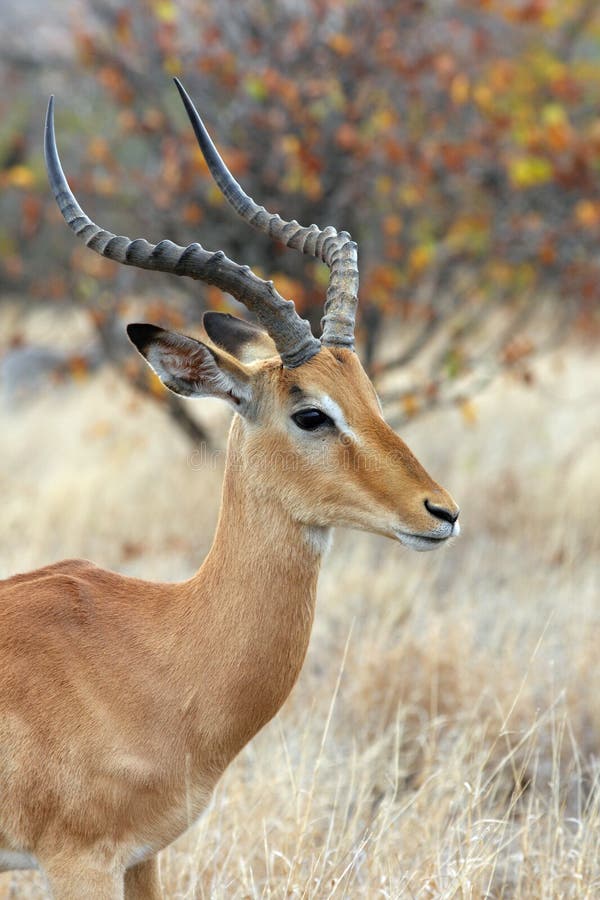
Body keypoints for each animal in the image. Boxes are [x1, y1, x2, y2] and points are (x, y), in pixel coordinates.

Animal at [0, 80, 459, 899]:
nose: (441, 512)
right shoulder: (78, 860)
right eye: (311, 413)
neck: (158, 646)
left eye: (370, 392)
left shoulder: (144, 854)